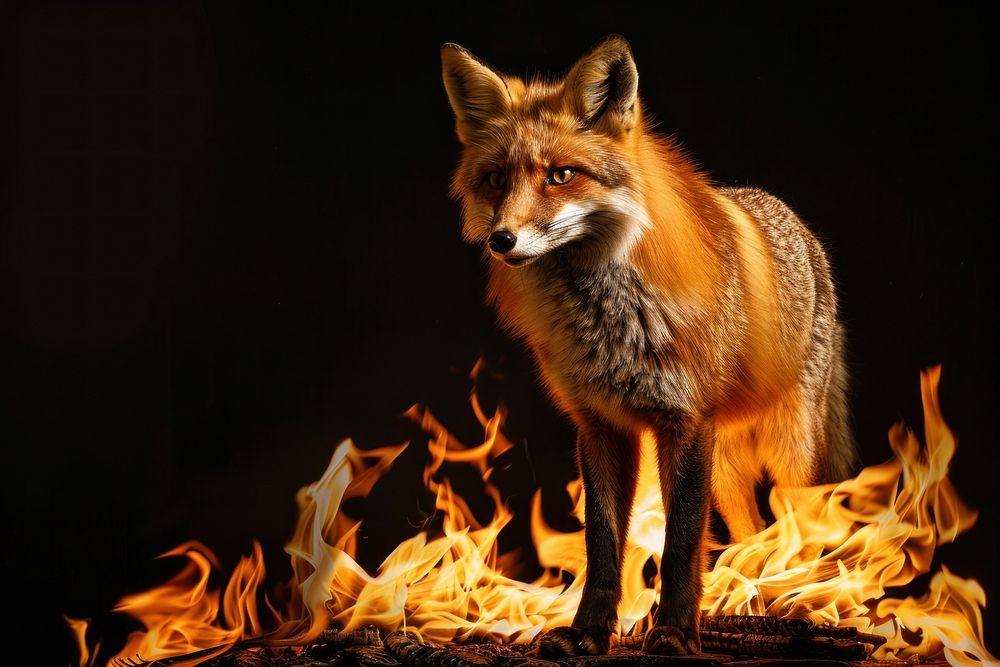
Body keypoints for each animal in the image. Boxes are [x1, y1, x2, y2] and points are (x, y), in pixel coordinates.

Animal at [441, 36, 856, 657]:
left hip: (790, 452)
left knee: (802, 532)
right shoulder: (600, 425)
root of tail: (797, 224)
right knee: (755, 534)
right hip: (726, 469)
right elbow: (603, 545)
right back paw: (755, 601)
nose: (501, 240)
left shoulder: (683, 423)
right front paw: (588, 632)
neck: (608, 328)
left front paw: (676, 631)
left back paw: (797, 604)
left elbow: (681, 546)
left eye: (561, 175)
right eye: (495, 178)